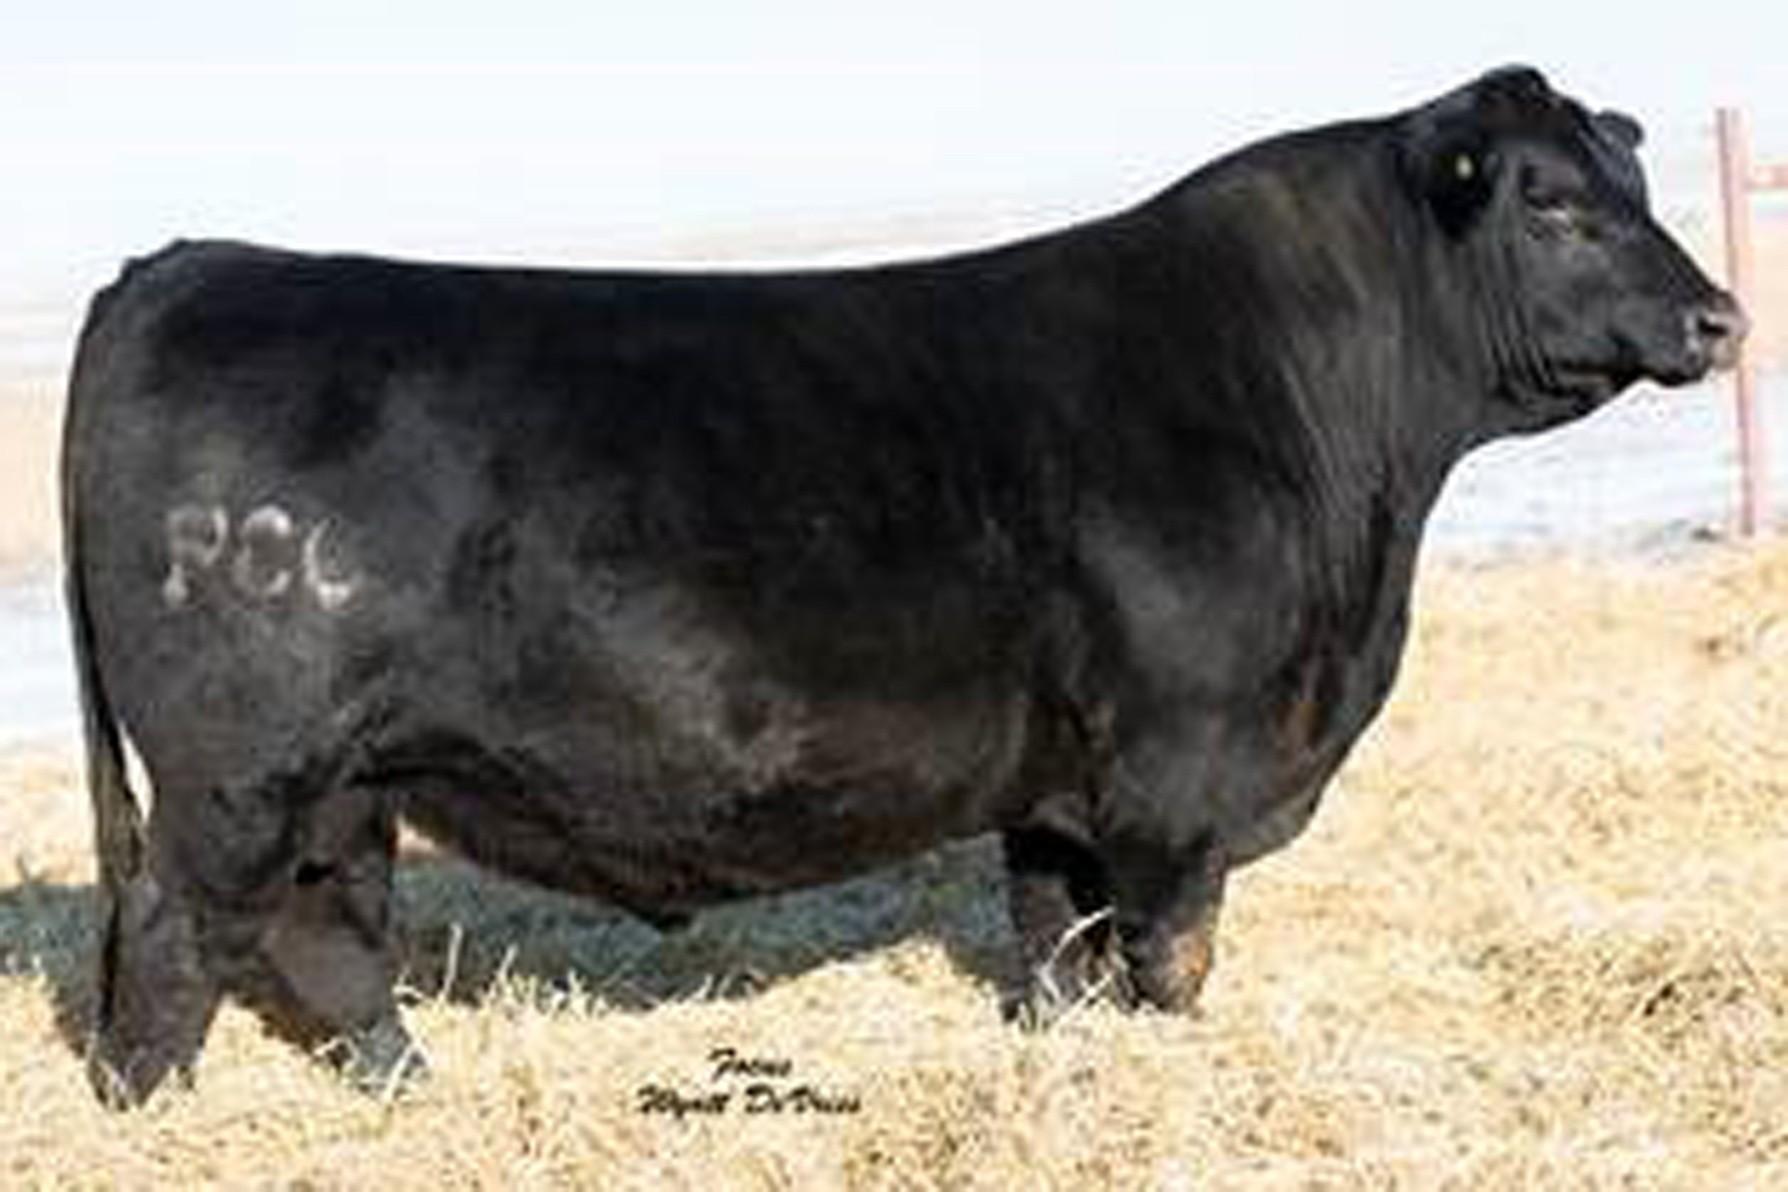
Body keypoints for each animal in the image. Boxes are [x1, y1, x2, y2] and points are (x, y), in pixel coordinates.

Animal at [63, 66, 1744, 1106]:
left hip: (343, 781)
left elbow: (1055, 946)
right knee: (174, 945)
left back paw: (415, 1091)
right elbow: (1172, 958)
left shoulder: (1064, 784)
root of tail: (181, 265)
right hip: (234, 775)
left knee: (325, 935)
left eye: (1631, 176)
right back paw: (160, 1121)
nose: (1722, 317)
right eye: (1551, 201)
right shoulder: (1181, 770)